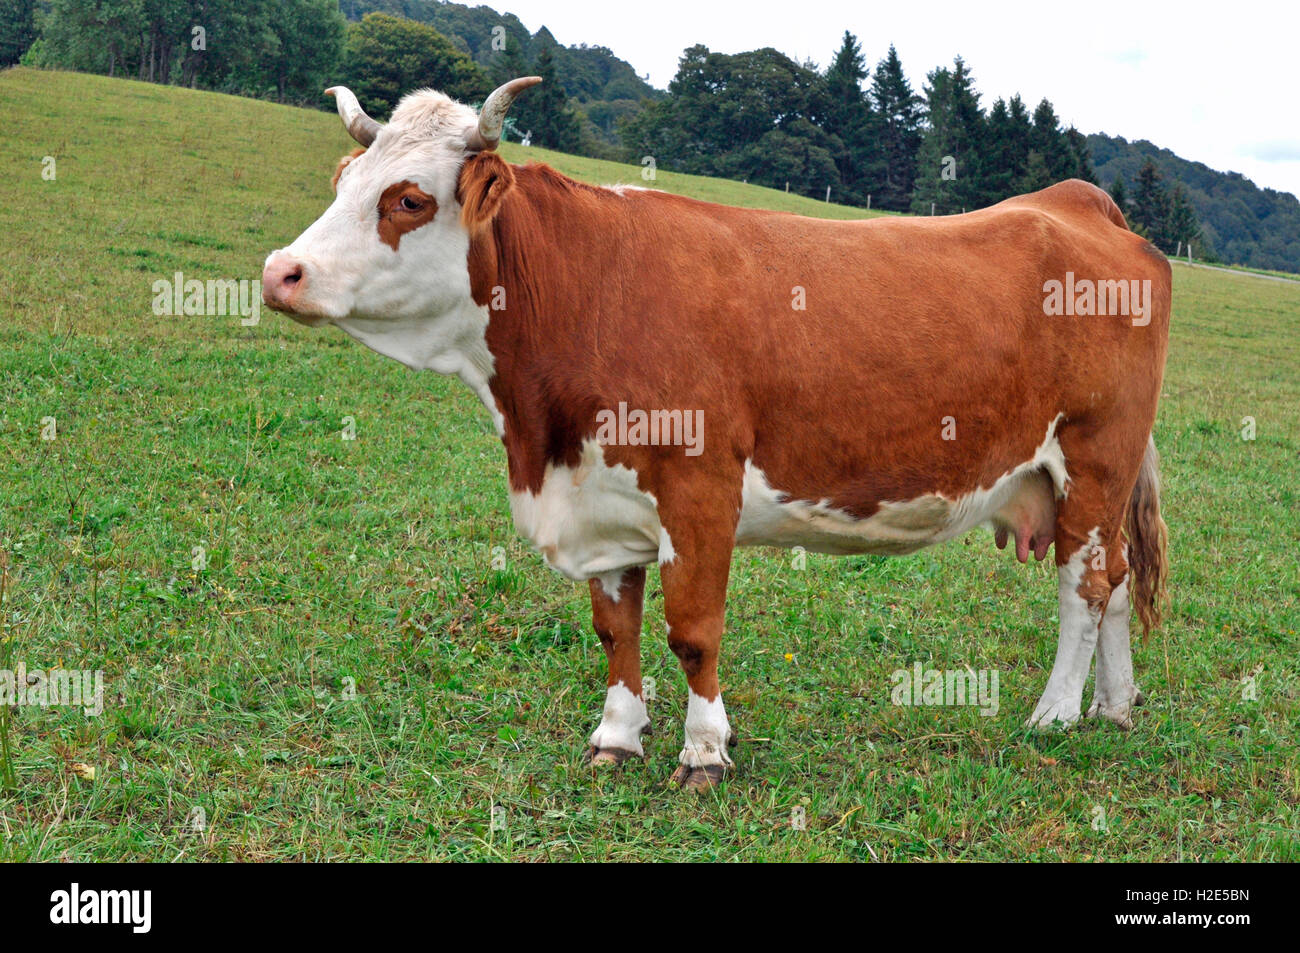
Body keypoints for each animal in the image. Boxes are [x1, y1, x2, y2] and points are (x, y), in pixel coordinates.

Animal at [263, 78, 1171, 792]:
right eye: (346, 182)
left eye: (408, 199)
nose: (279, 272)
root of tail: (1073, 200)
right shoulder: (602, 493)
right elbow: (616, 627)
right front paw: (617, 737)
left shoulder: (699, 487)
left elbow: (693, 631)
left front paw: (703, 751)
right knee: (1118, 576)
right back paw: (1115, 706)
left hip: (1094, 455)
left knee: (1086, 586)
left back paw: (1055, 713)